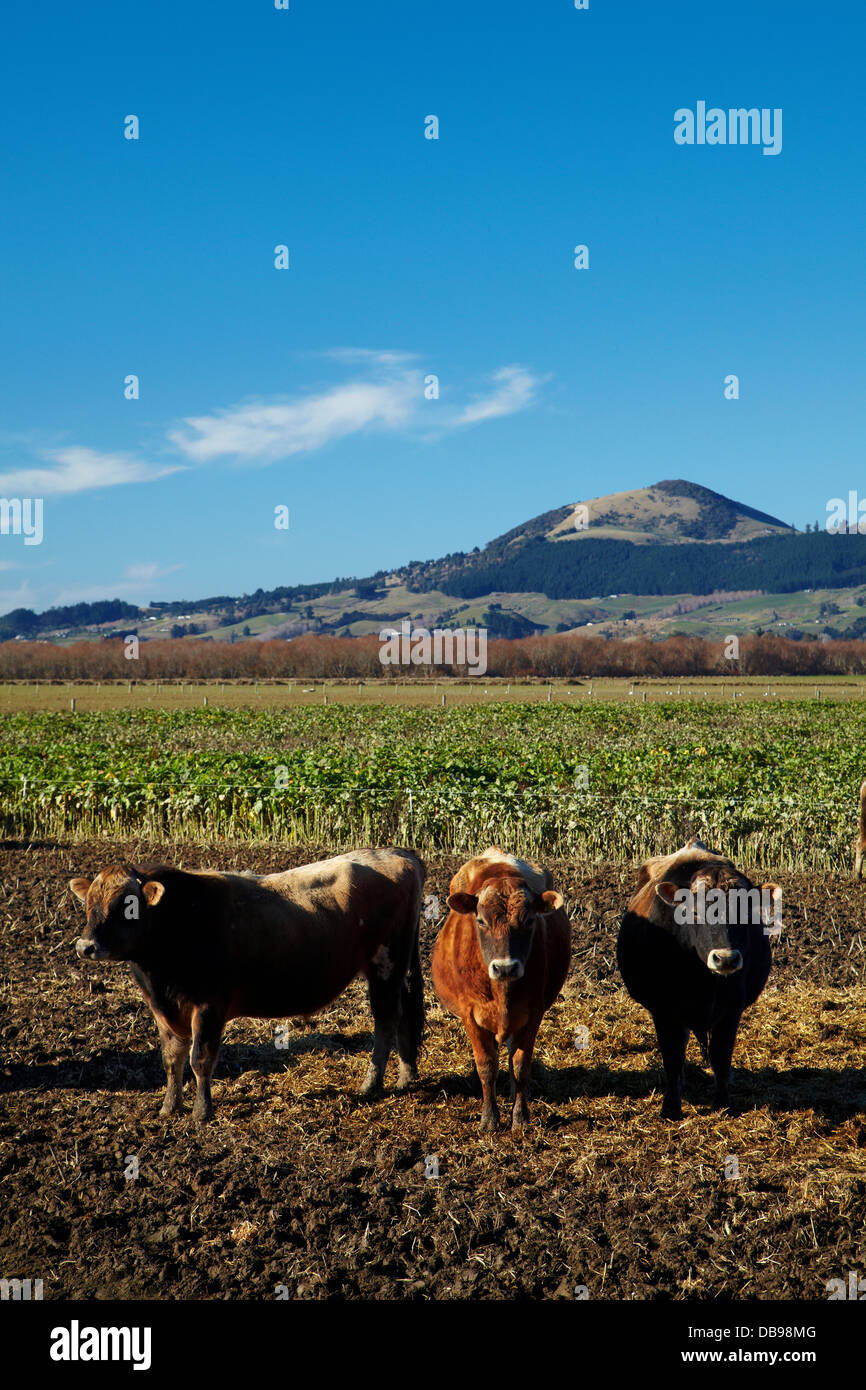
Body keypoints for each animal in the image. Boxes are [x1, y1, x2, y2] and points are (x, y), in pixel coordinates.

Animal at [69, 848, 425, 1121]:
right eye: (89, 904)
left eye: (126, 905)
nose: (85, 946)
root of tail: (398, 853)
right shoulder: (163, 1010)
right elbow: (172, 1060)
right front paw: (170, 1107)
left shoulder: (209, 1005)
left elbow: (200, 1059)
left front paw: (202, 1112)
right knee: (403, 1016)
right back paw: (406, 1076)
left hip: (385, 966)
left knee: (385, 1022)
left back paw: (371, 1085)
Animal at [431, 847, 571, 1133]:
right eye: (481, 921)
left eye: (529, 921)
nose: (505, 967)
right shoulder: (470, 1014)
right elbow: (486, 1065)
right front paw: (489, 1119)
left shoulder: (534, 1012)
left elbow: (520, 1065)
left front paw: (520, 1117)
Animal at [617, 838, 781, 1119]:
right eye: (694, 912)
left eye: (746, 913)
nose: (725, 959)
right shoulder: (664, 1010)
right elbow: (673, 1055)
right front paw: (671, 1107)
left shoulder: (732, 1009)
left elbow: (721, 1054)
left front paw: (723, 1102)